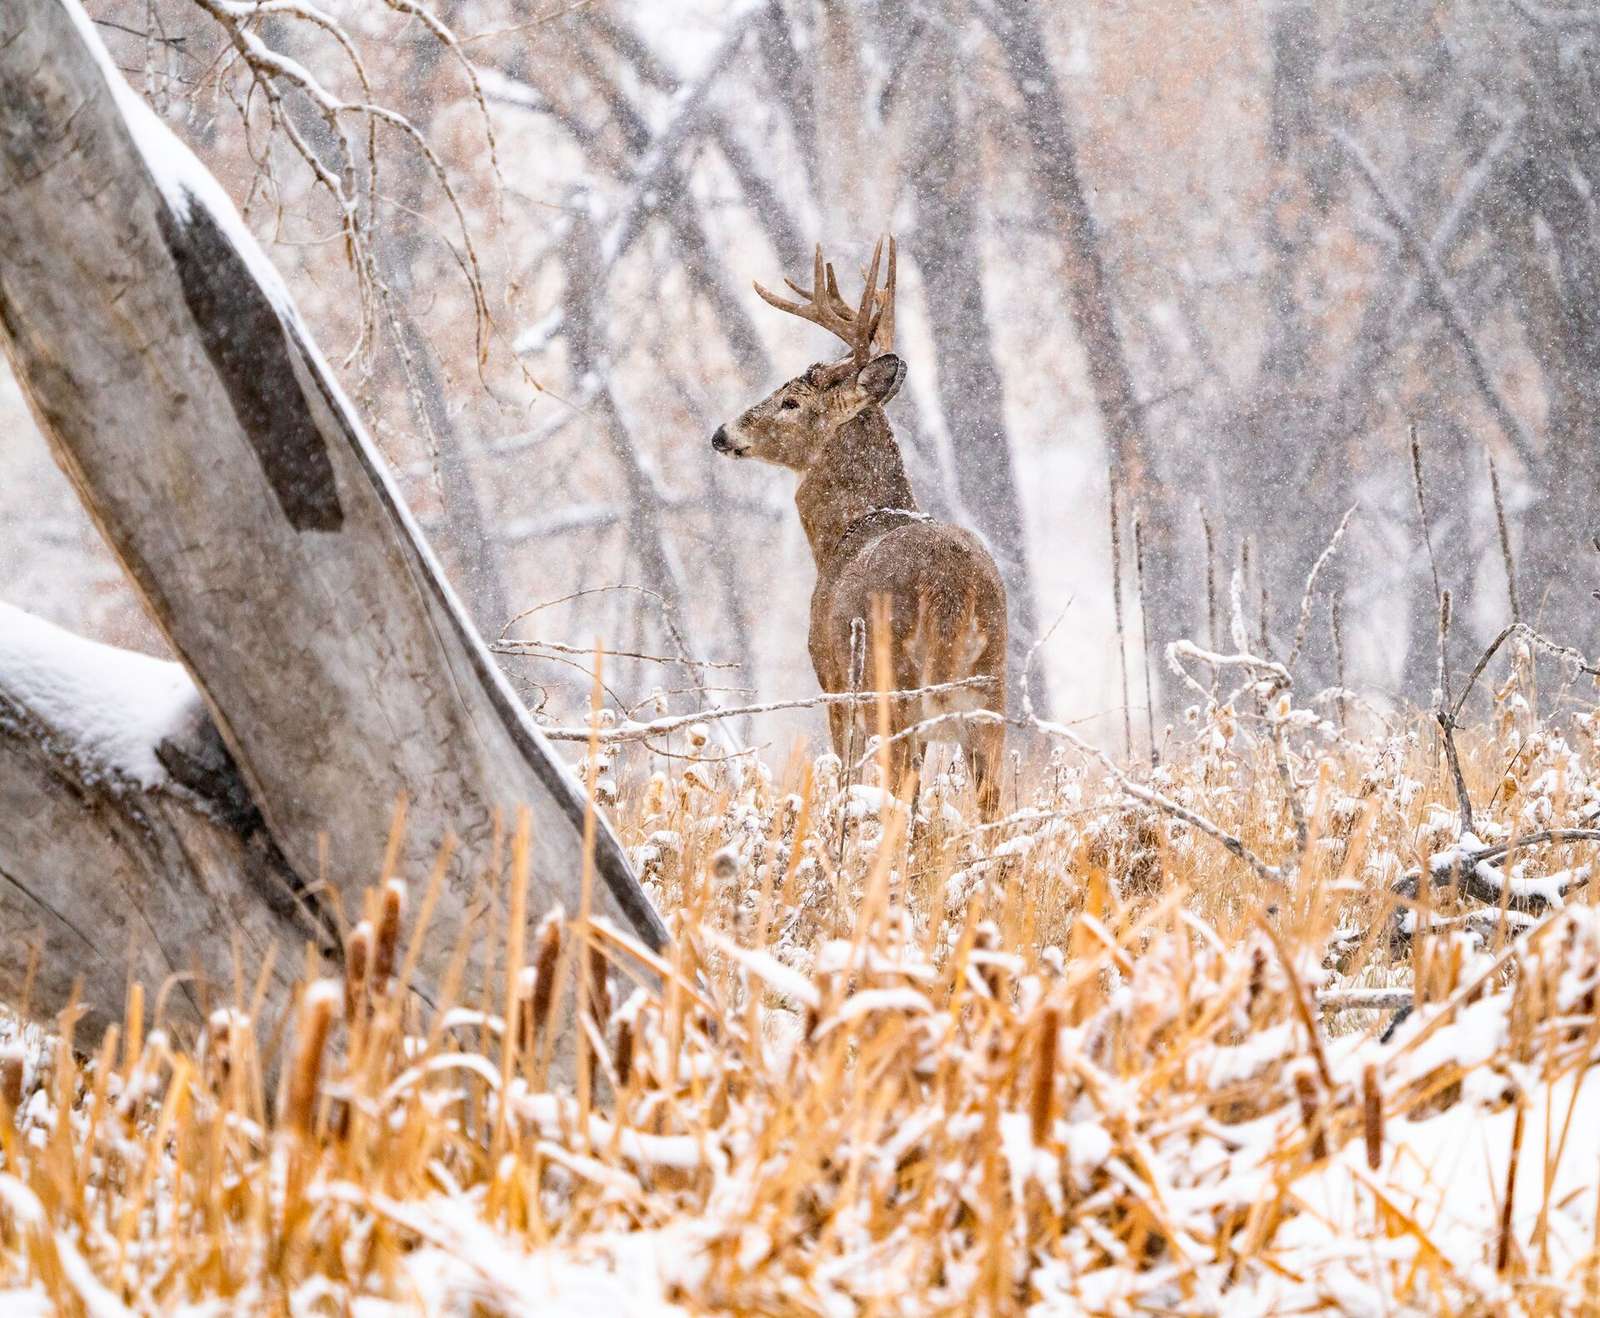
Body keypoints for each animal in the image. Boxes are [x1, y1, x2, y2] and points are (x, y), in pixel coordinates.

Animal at [712, 236, 1008, 820]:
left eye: (791, 401)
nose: (722, 433)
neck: (846, 534)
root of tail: (952, 589)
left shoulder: (829, 677)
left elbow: (844, 773)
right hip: (991, 693)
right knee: (993, 804)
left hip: (890, 684)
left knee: (903, 792)